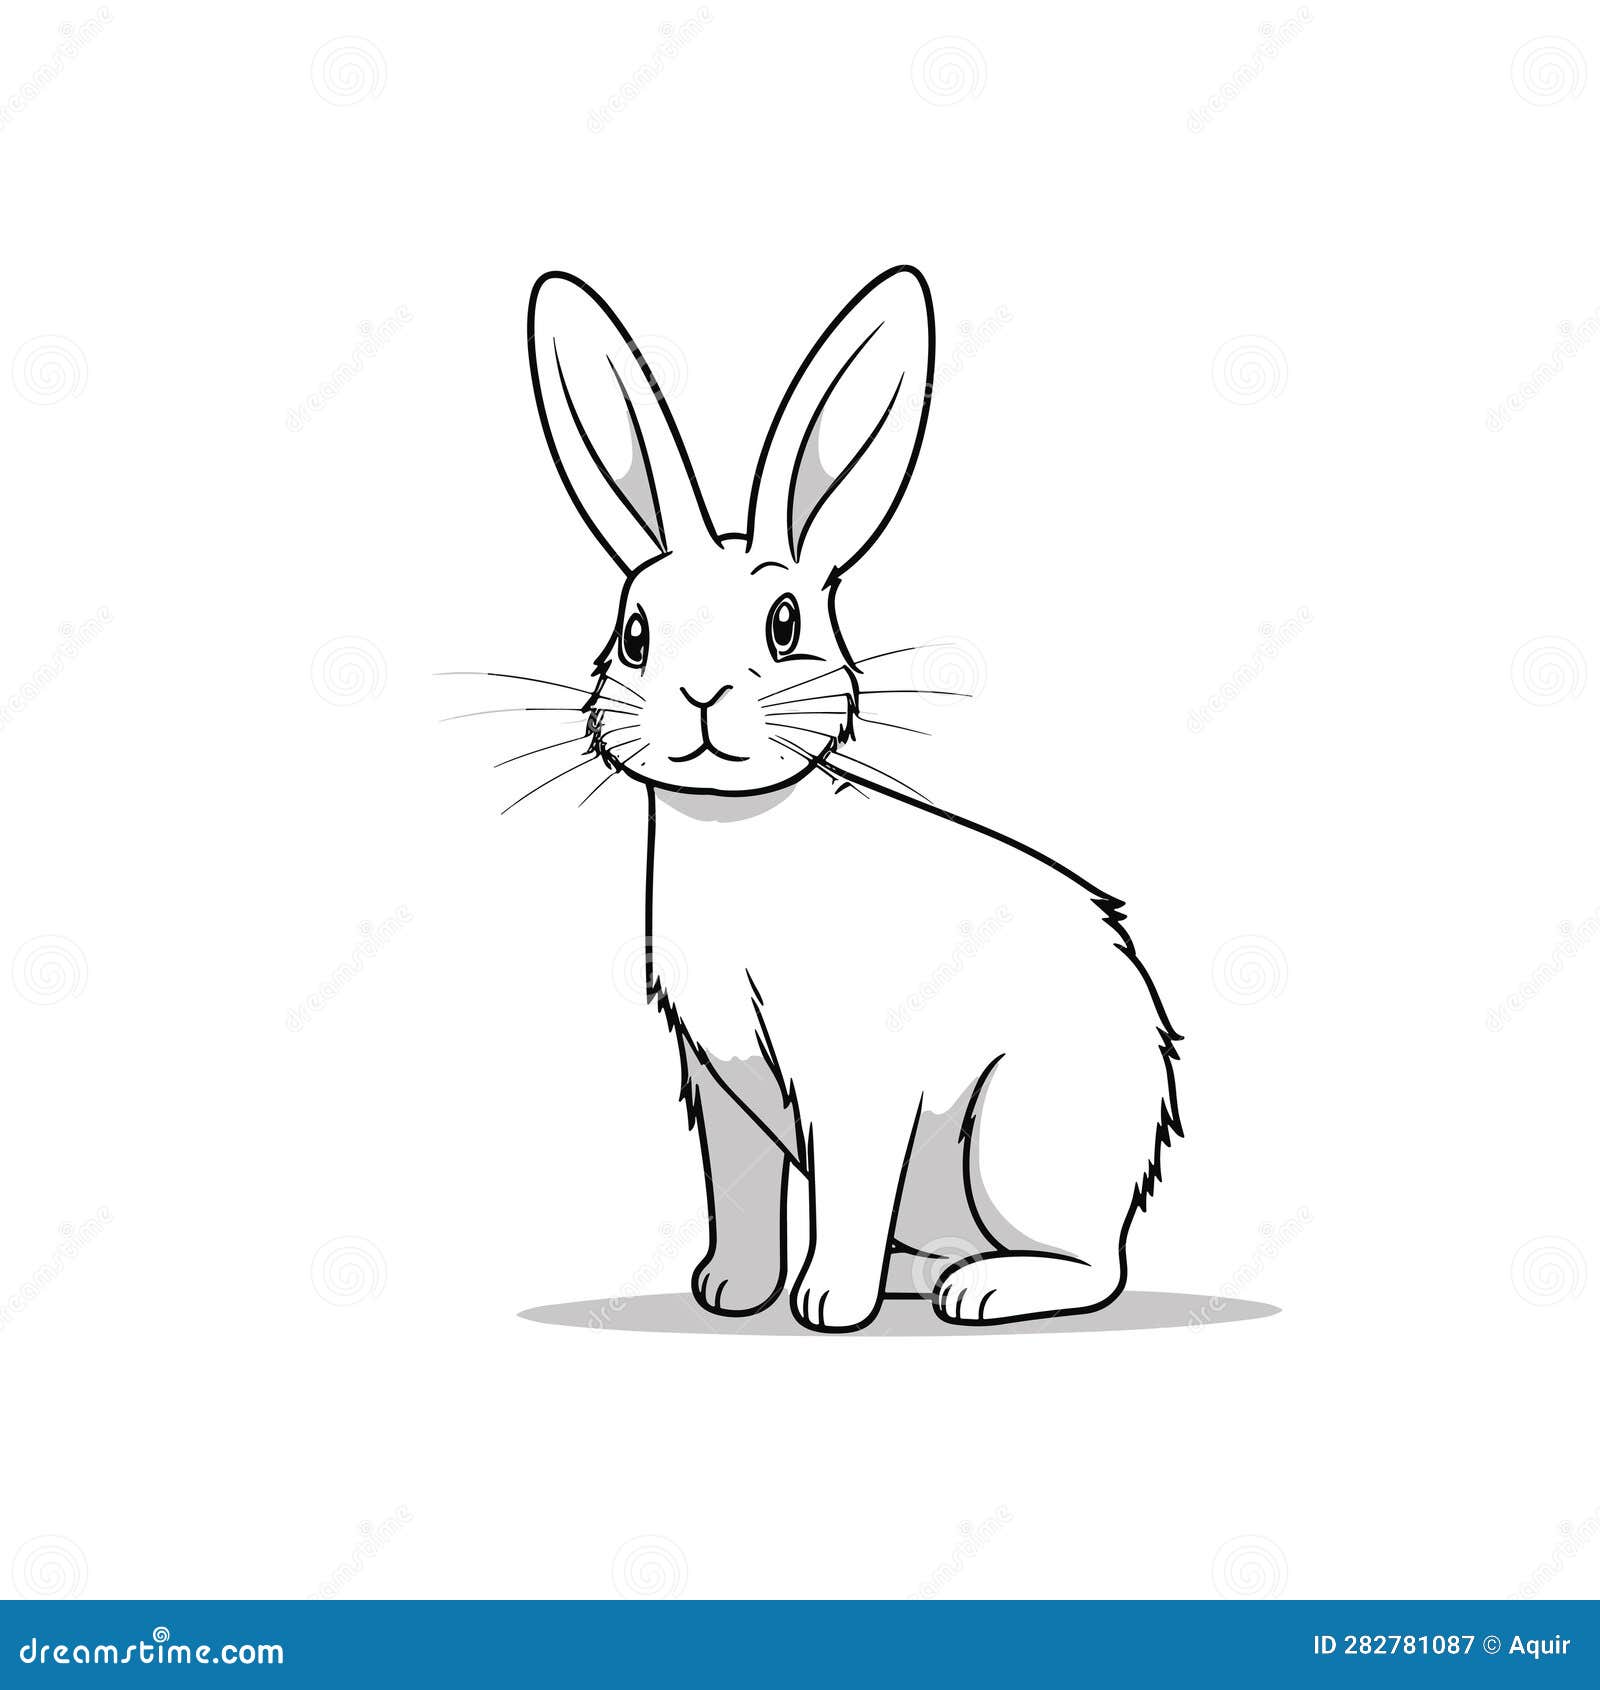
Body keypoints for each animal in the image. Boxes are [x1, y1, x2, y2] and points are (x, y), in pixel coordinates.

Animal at [525, 265, 1181, 1330]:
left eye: (785, 624)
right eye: (635, 635)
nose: (700, 695)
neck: (738, 835)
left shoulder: (859, 1082)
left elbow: (850, 1187)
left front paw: (827, 1304)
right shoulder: (721, 1080)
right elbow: (739, 1191)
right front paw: (731, 1291)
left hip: (1020, 1142)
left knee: (1094, 1267)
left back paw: (978, 1289)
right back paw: (919, 1277)